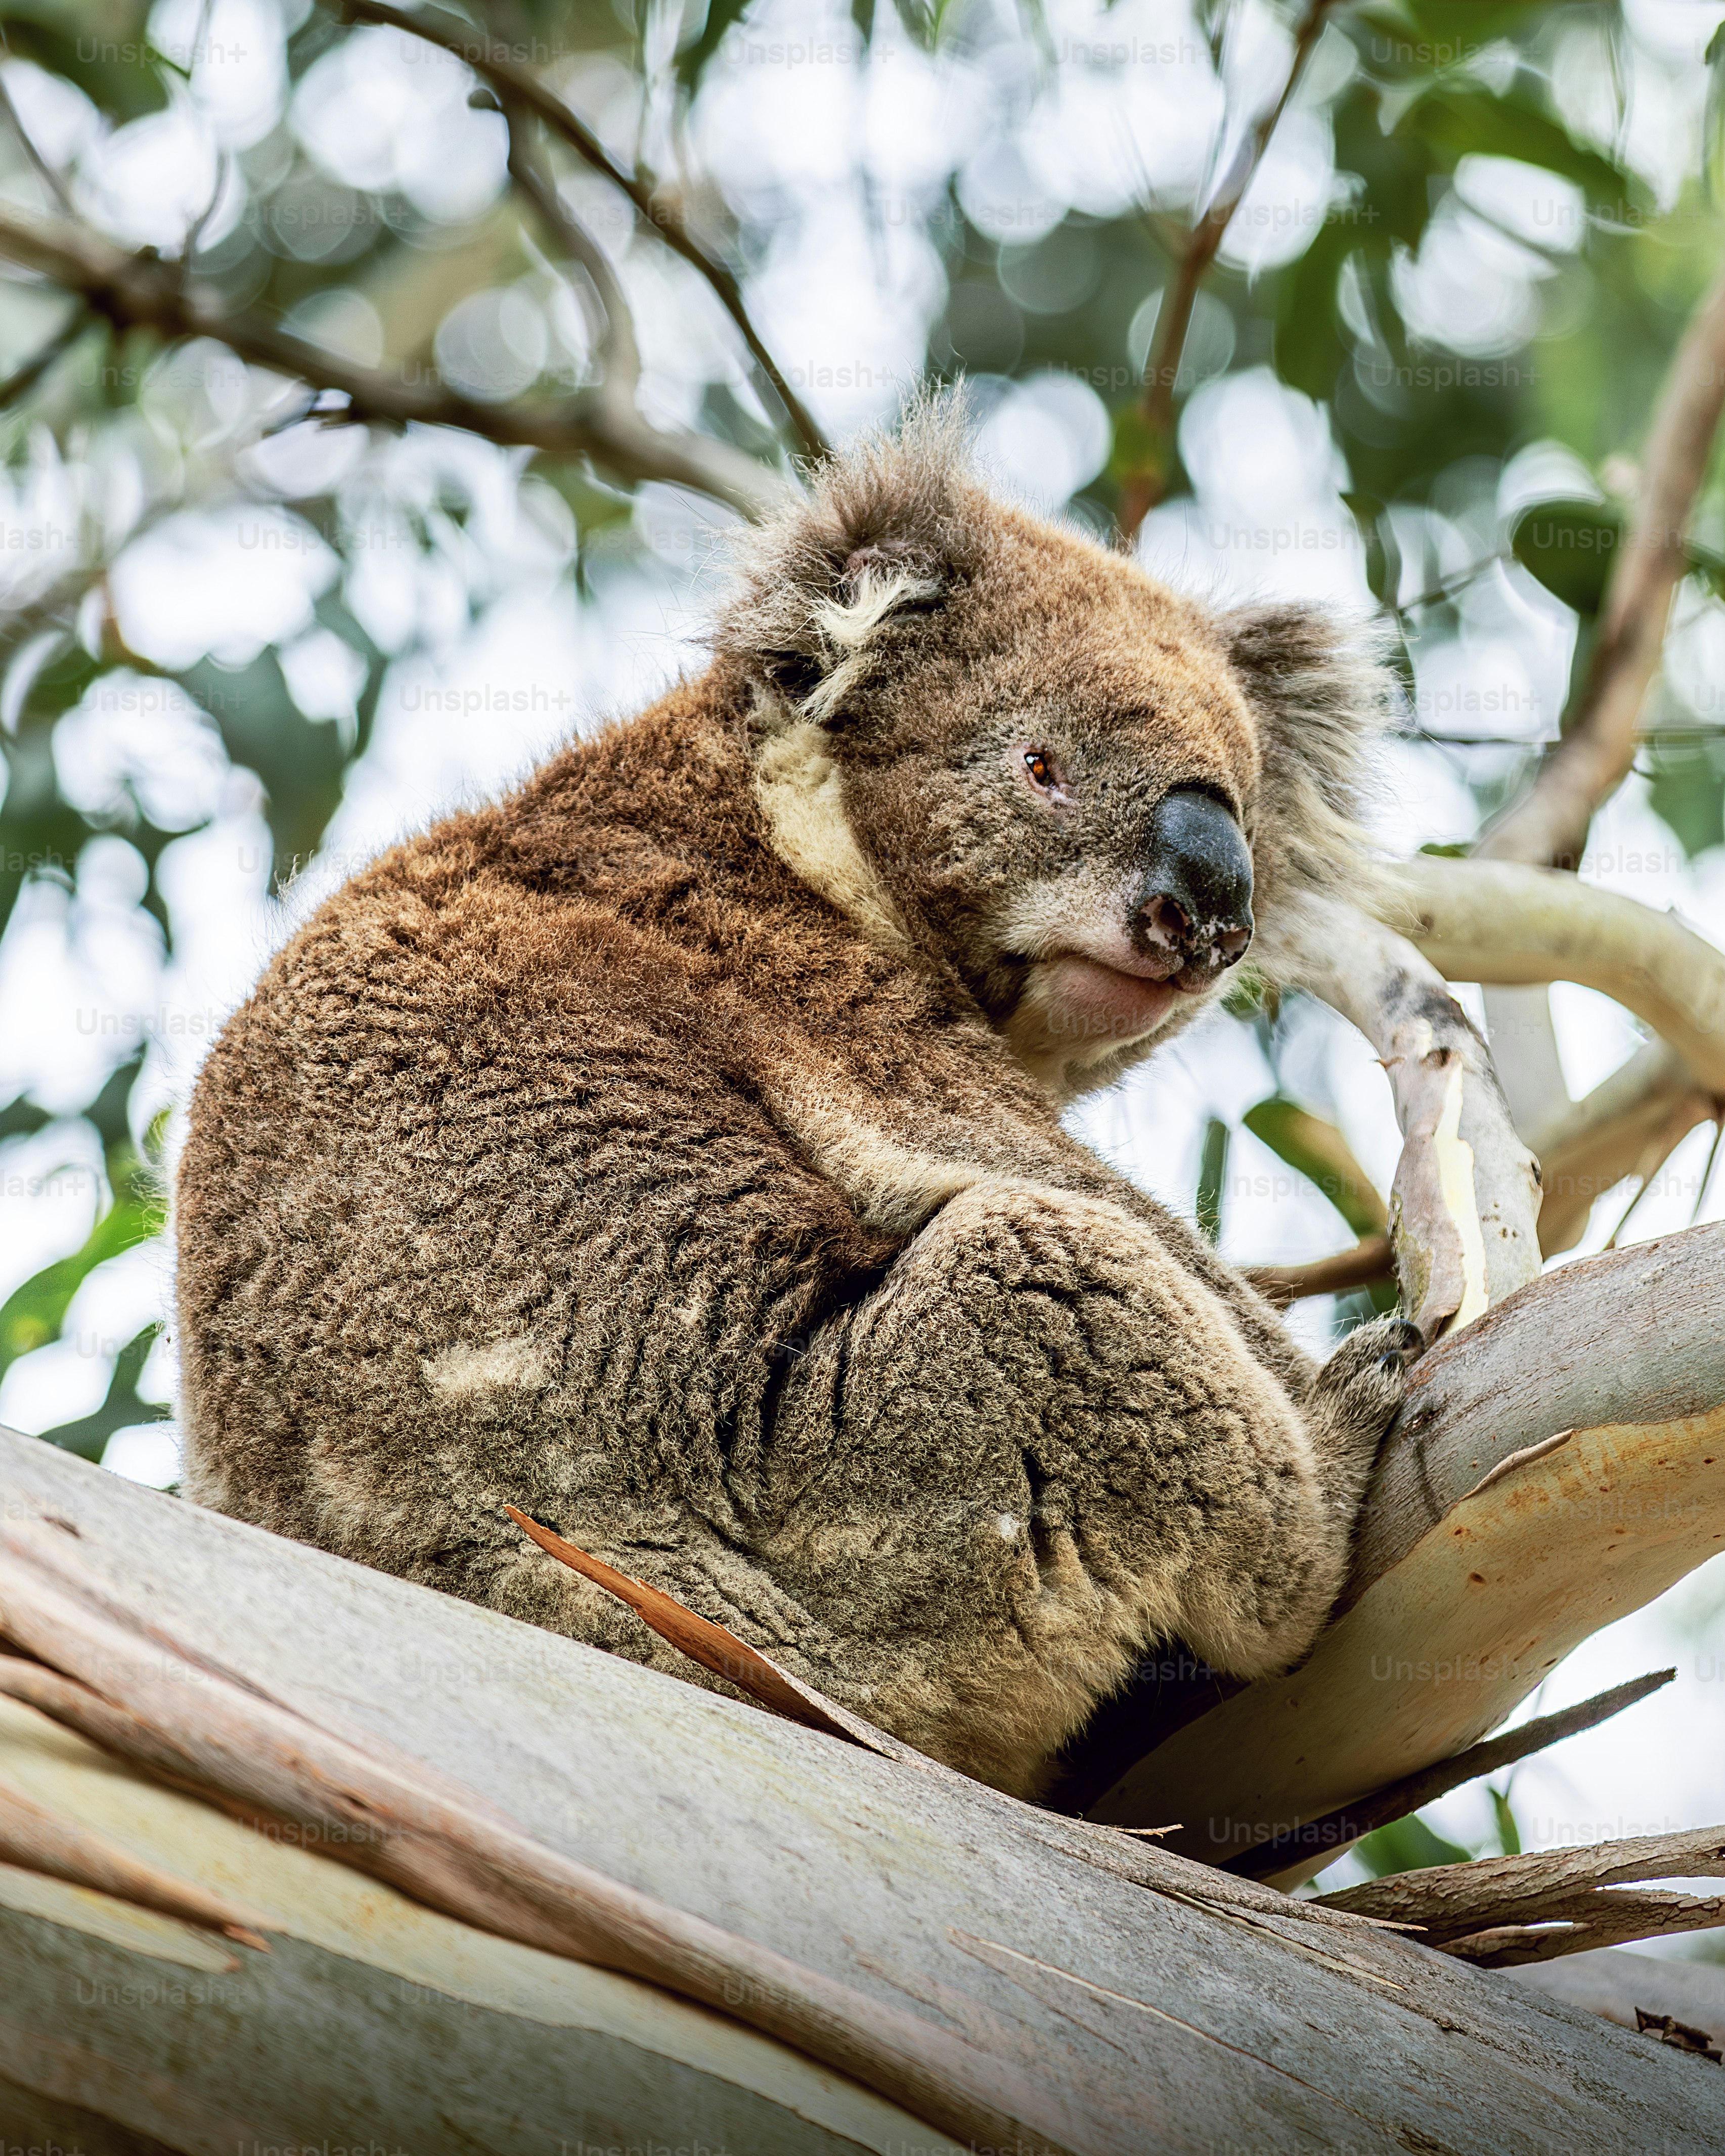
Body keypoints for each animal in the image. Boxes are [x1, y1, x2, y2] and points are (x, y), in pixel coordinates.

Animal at [174, 403, 1418, 1800]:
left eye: (1242, 803)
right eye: (1041, 767)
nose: (1202, 909)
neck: (791, 820)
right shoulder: (804, 993)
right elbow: (1056, 1179)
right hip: (862, 1513)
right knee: (1057, 1271)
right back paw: (1333, 1457)